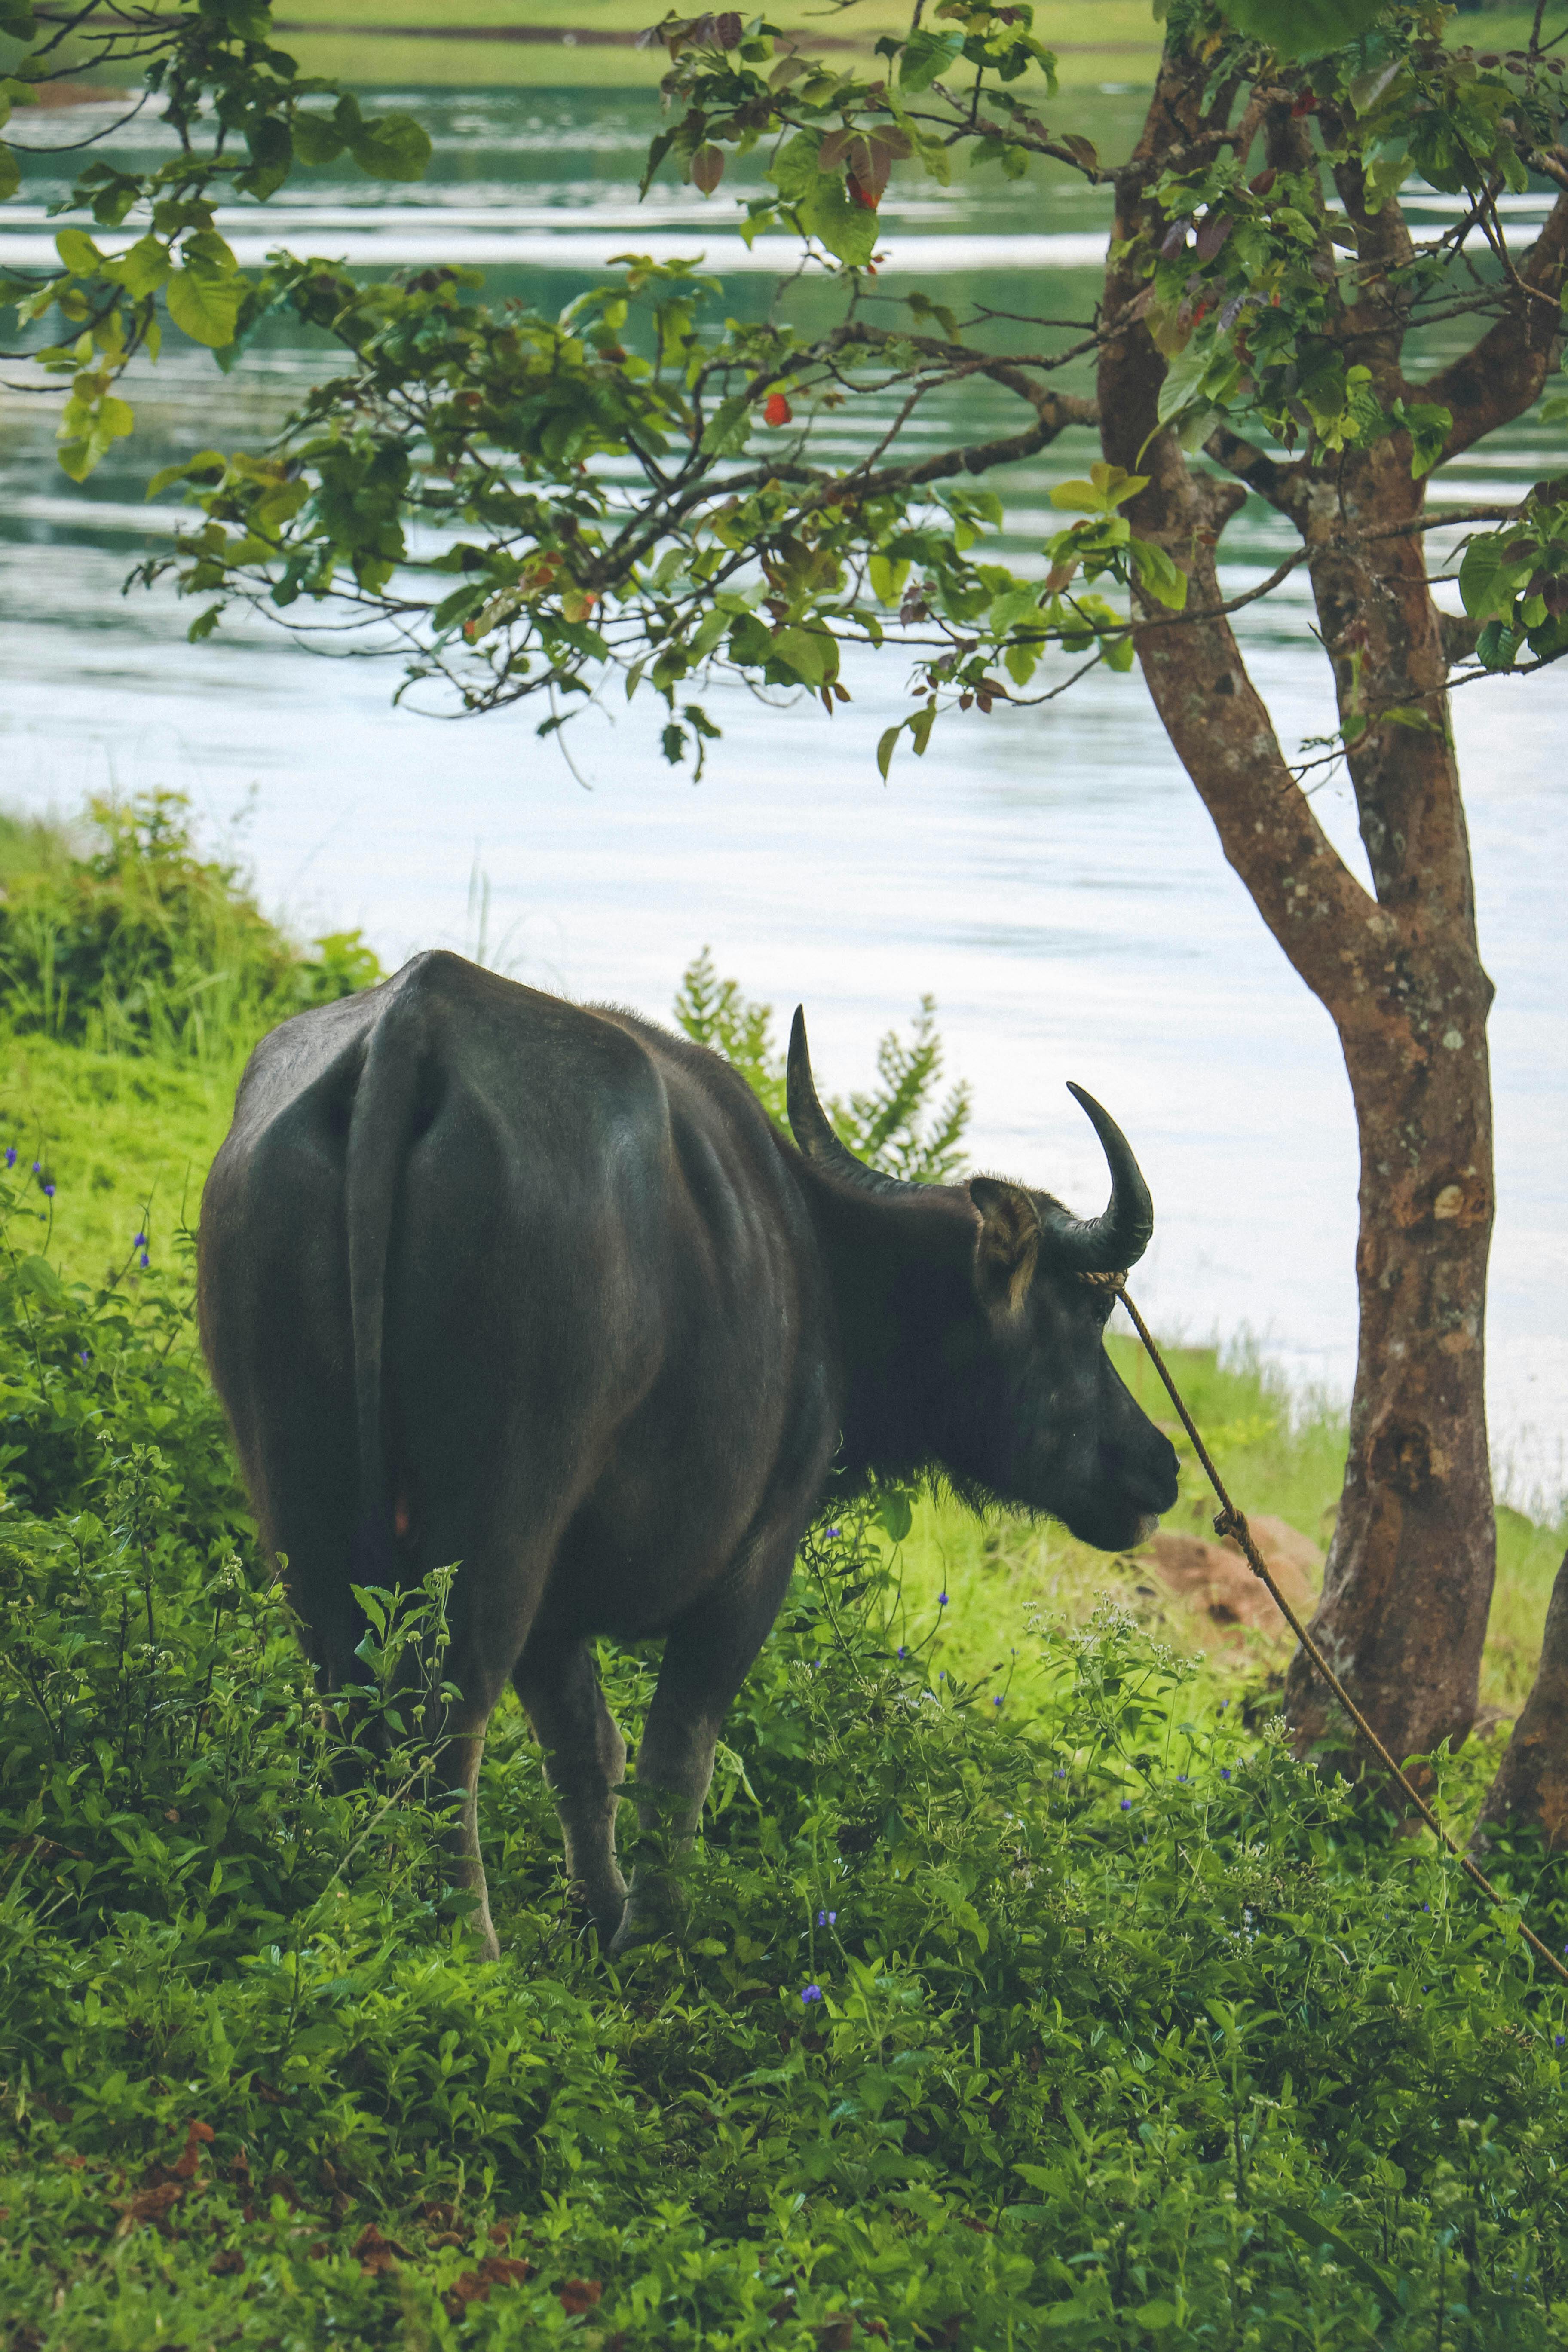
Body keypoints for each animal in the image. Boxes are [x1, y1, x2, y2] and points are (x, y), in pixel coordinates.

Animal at [199, 951, 1178, 1957]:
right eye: (1090, 1307)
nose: (1160, 1463)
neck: (820, 1265)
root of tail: (415, 1022)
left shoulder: (559, 1609)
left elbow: (587, 1746)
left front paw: (596, 1912)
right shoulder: (753, 1563)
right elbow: (678, 1754)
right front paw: (649, 1938)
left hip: (302, 1505)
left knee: (351, 1704)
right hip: (501, 1521)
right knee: (445, 1725)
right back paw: (468, 1945)